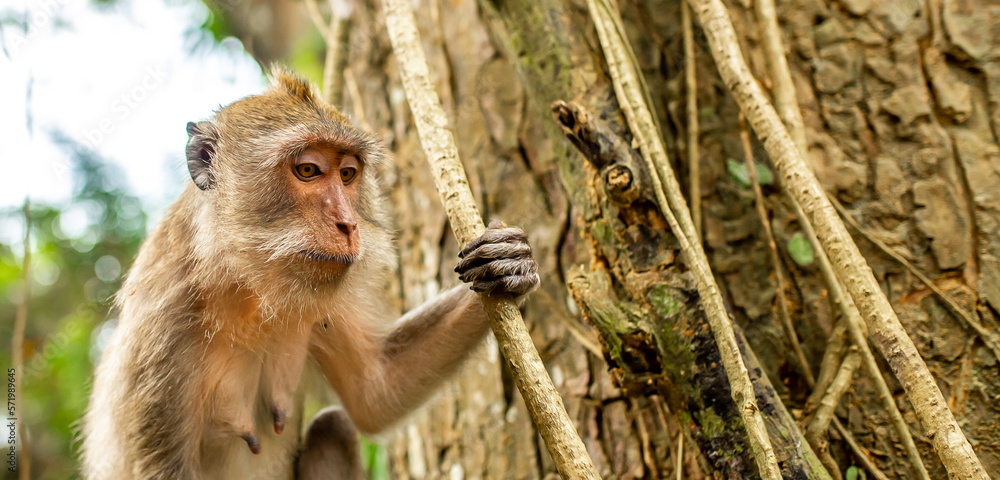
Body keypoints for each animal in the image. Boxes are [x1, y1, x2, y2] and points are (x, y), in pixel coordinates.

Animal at [79, 68, 539, 480]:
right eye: (308, 170)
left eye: (348, 174)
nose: (347, 224)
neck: (246, 286)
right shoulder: (161, 331)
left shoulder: (321, 295)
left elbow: (375, 392)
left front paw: (509, 262)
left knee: (335, 427)